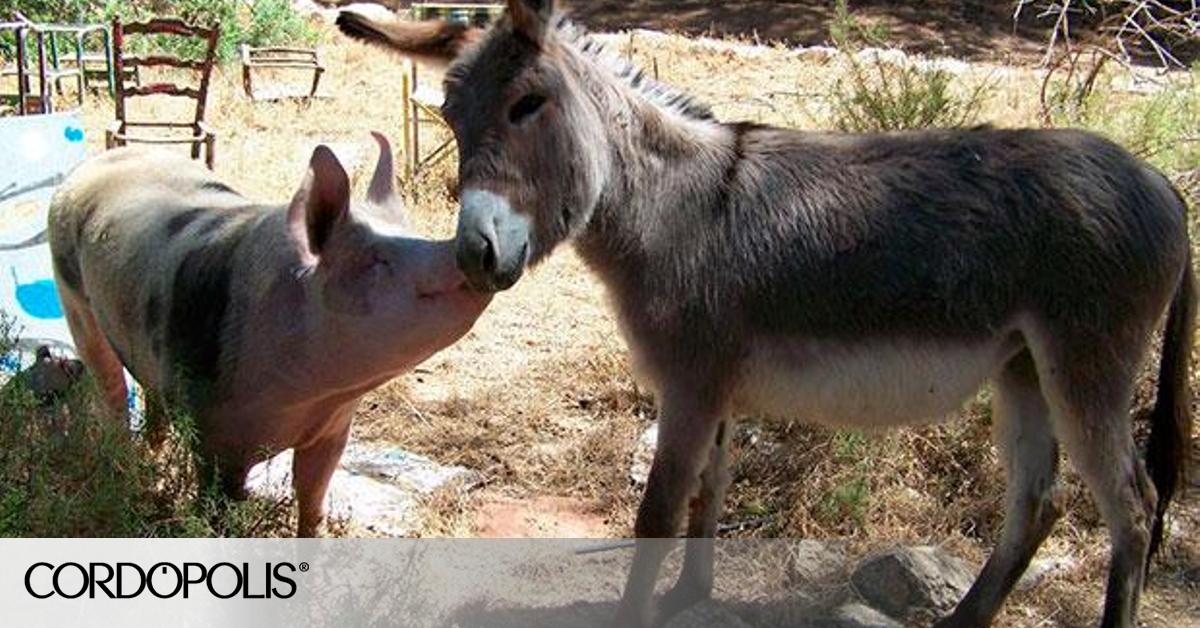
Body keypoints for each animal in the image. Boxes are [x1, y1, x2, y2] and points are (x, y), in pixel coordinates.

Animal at [48, 134, 491, 535]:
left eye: (411, 230)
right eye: (376, 259)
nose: (474, 252)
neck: (306, 398)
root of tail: (95, 162)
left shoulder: (333, 429)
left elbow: (312, 499)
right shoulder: (214, 439)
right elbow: (218, 515)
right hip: (73, 296)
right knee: (110, 390)